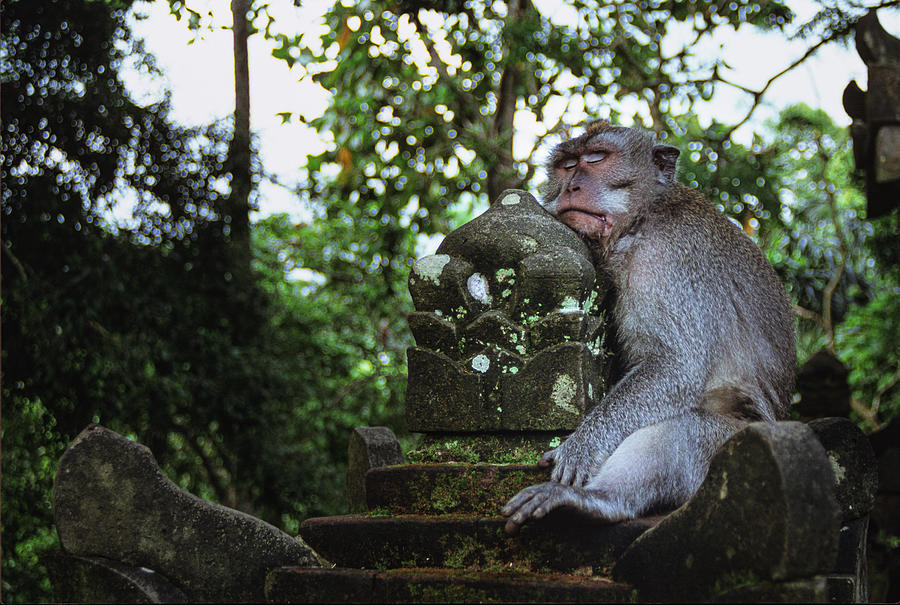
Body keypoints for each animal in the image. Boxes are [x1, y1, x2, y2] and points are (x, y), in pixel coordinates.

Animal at [501, 120, 796, 535]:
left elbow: (676, 366)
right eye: (567, 164)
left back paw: (596, 501)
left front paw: (582, 445)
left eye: (597, 158)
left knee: (681, 431)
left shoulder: (667, 264)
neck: (641, 219)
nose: (571, 185)